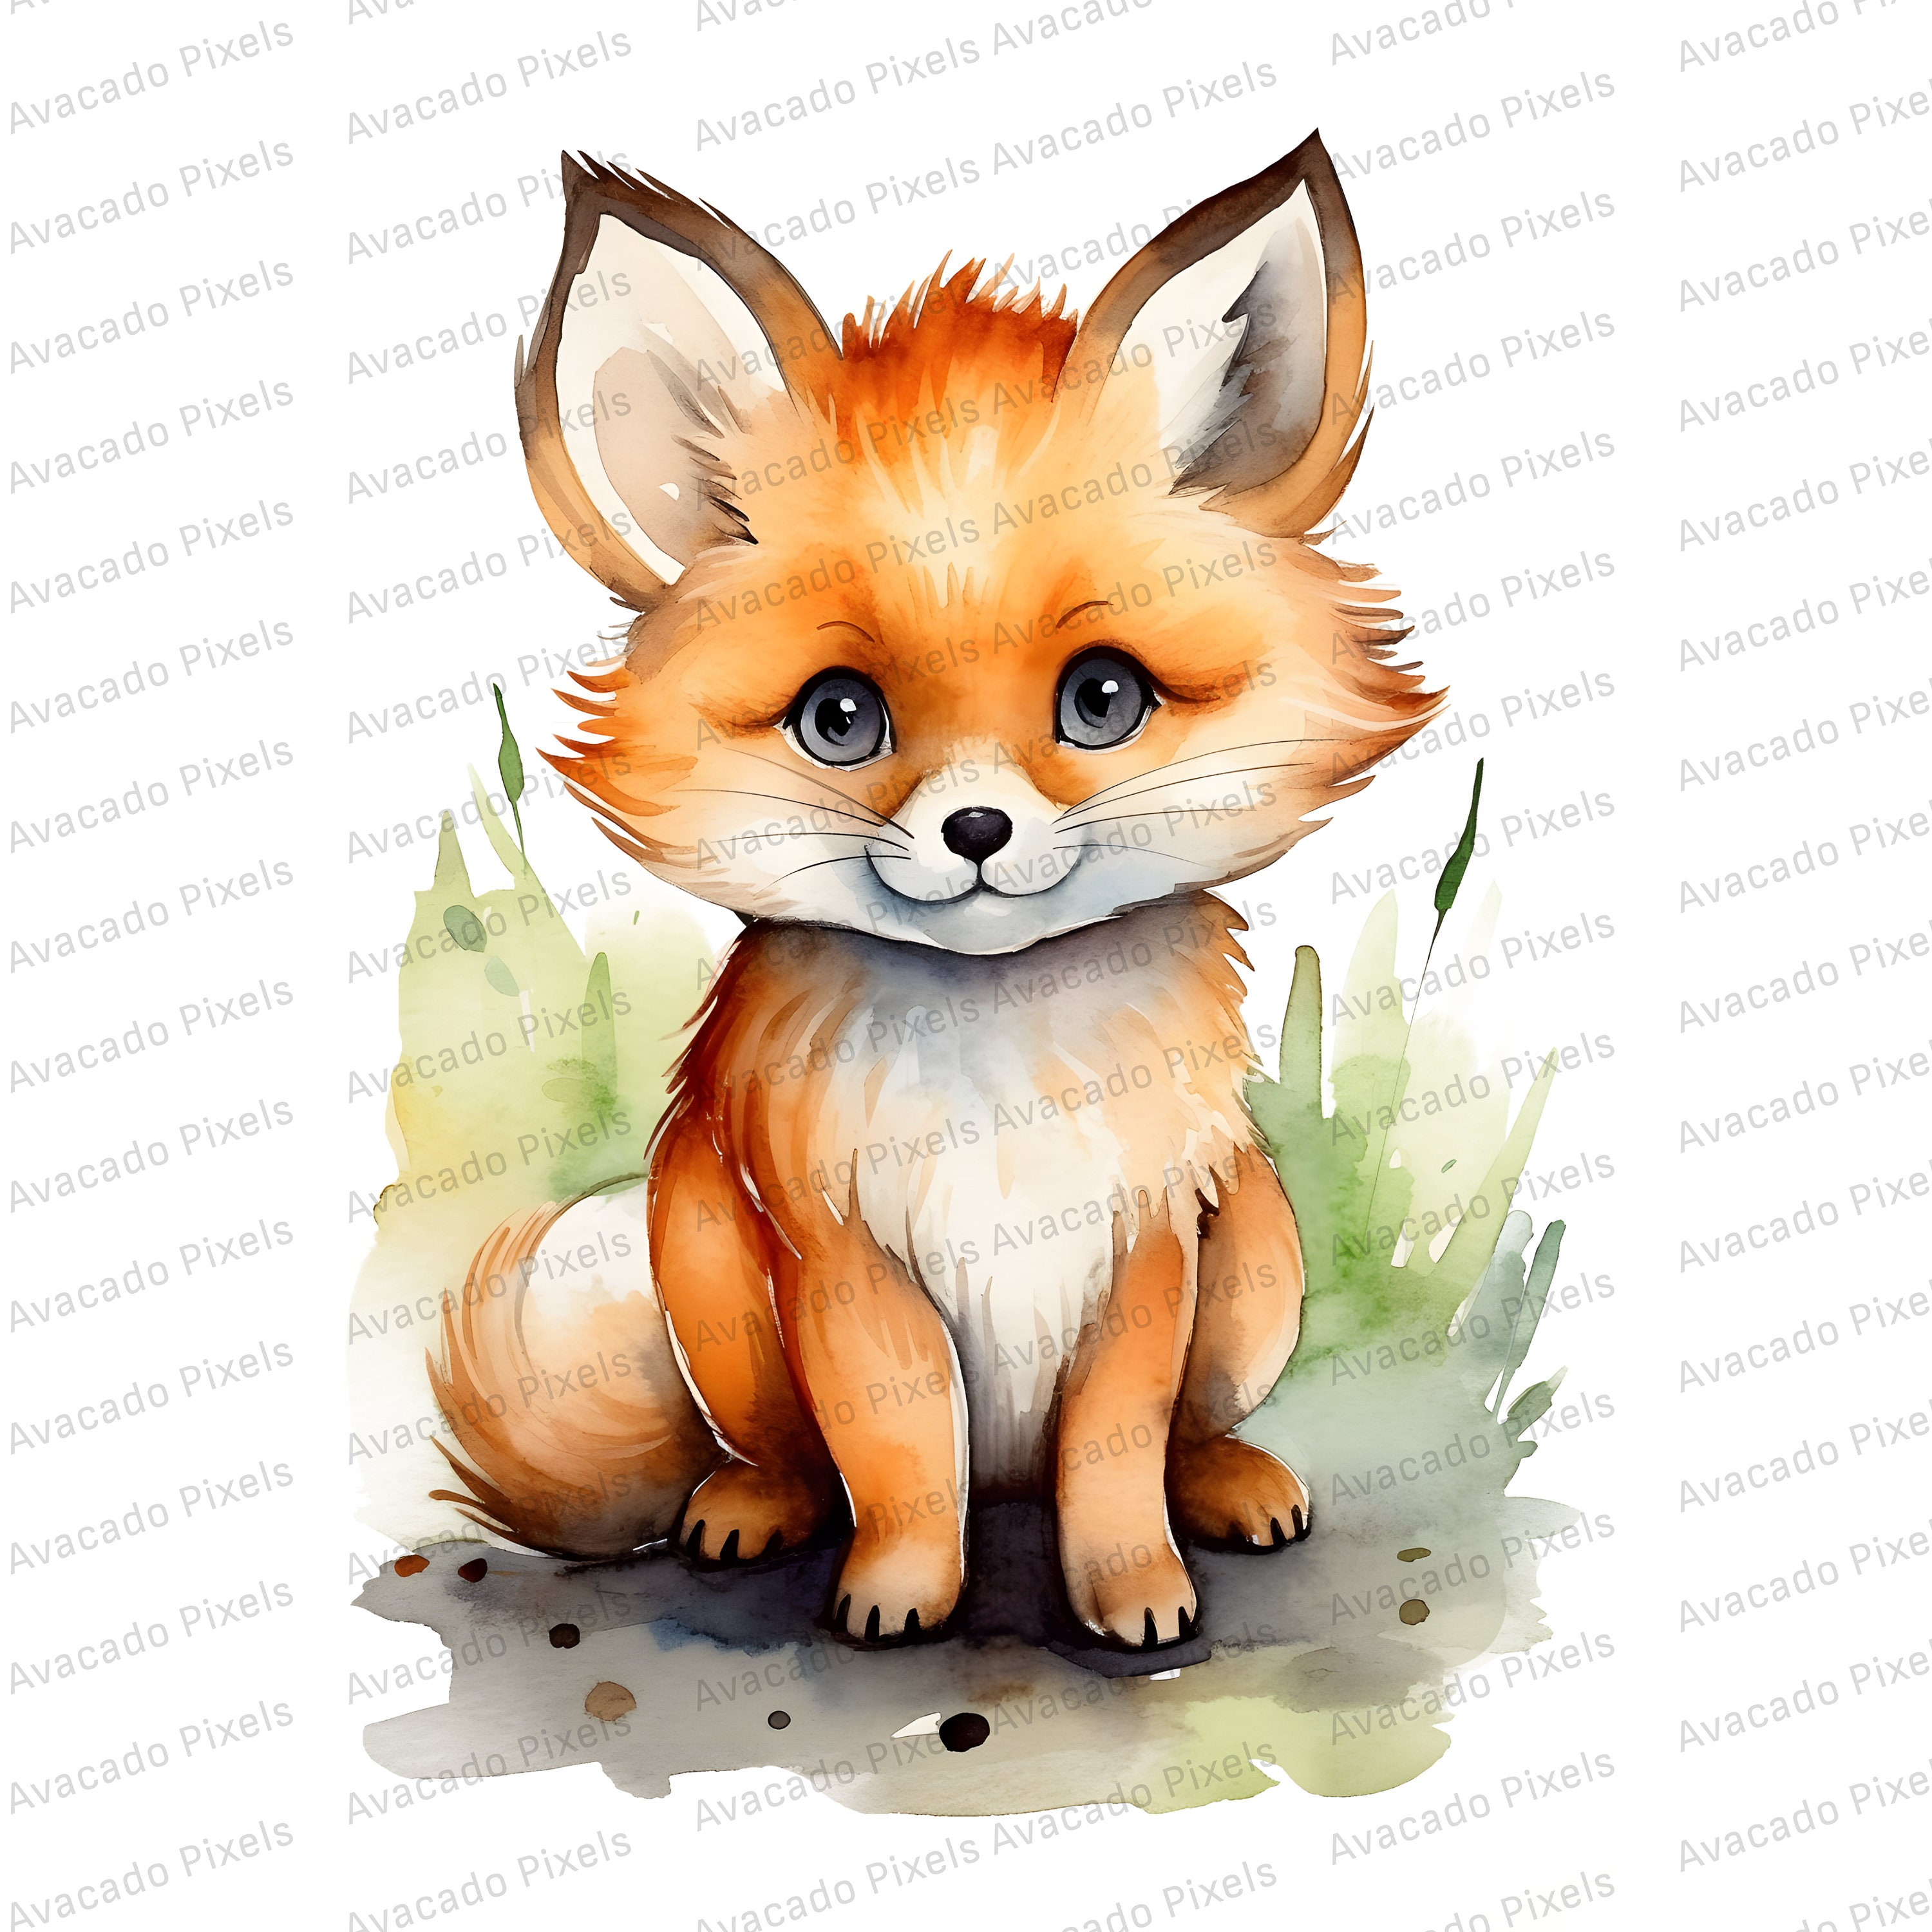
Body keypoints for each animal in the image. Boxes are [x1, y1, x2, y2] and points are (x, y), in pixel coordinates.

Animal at [427, 133, 1438, 1650]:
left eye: (1102, 700)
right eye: (840, 719)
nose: (974, 826)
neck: (996, 1063)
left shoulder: (1146, 1244)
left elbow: (1114, 1452)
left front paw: (1130, 1588)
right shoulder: (842, 1258)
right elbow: (899, 1456)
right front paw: (904, 1587)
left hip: (1257, 1249)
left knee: (1178, 1433)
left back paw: (1231, 1484)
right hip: (701, 1248)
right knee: (788, 1451)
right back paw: (756, 1505)